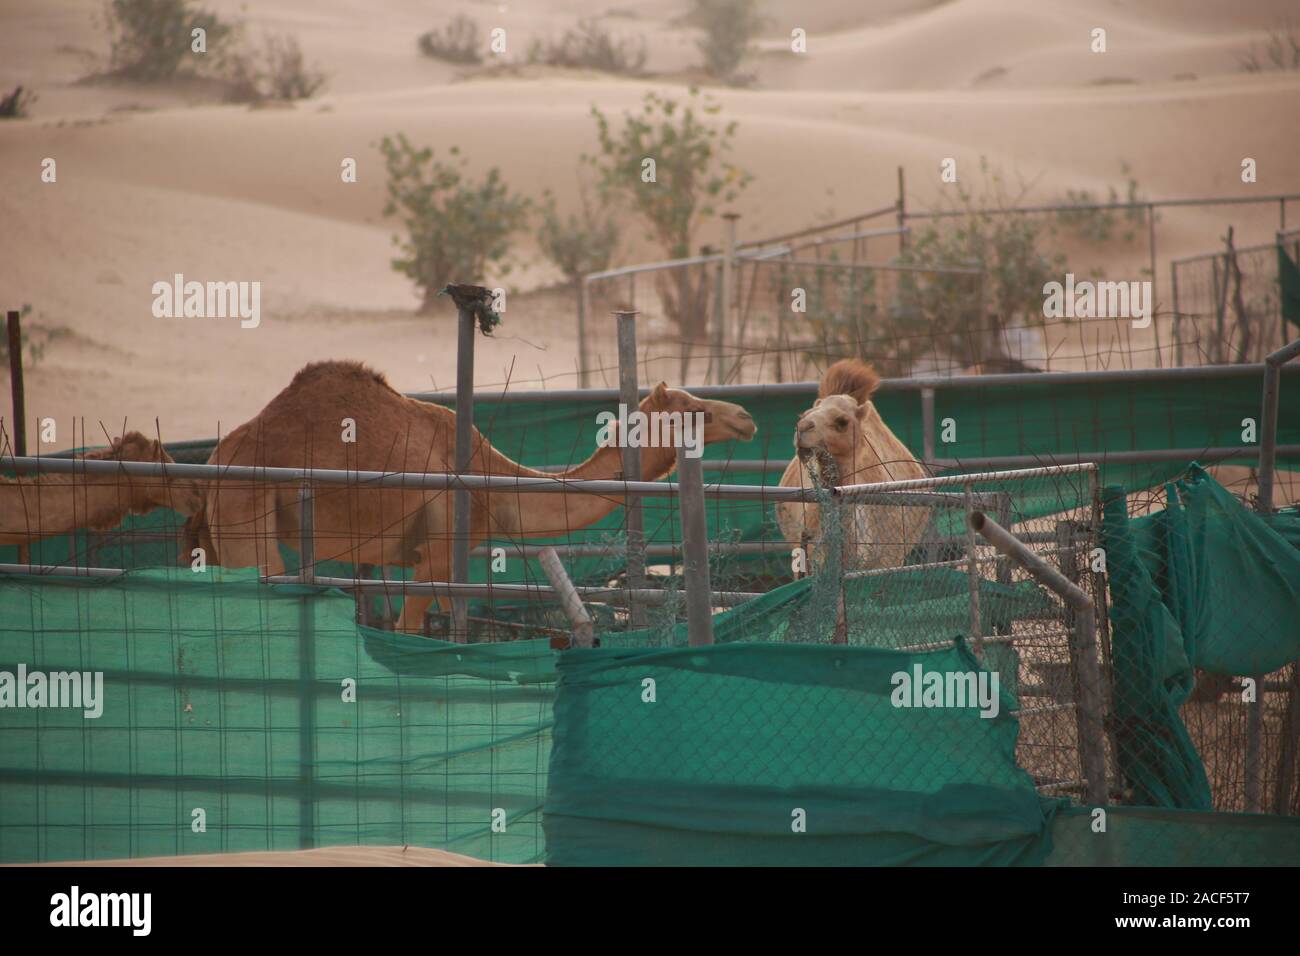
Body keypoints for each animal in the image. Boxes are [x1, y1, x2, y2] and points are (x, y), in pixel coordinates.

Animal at [185, 360, 757, 633]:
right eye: (694, 409)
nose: (746, 417)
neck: (491, 481)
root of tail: (217, 459)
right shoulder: (434, 555)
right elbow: (409, 630)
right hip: (247, 517)